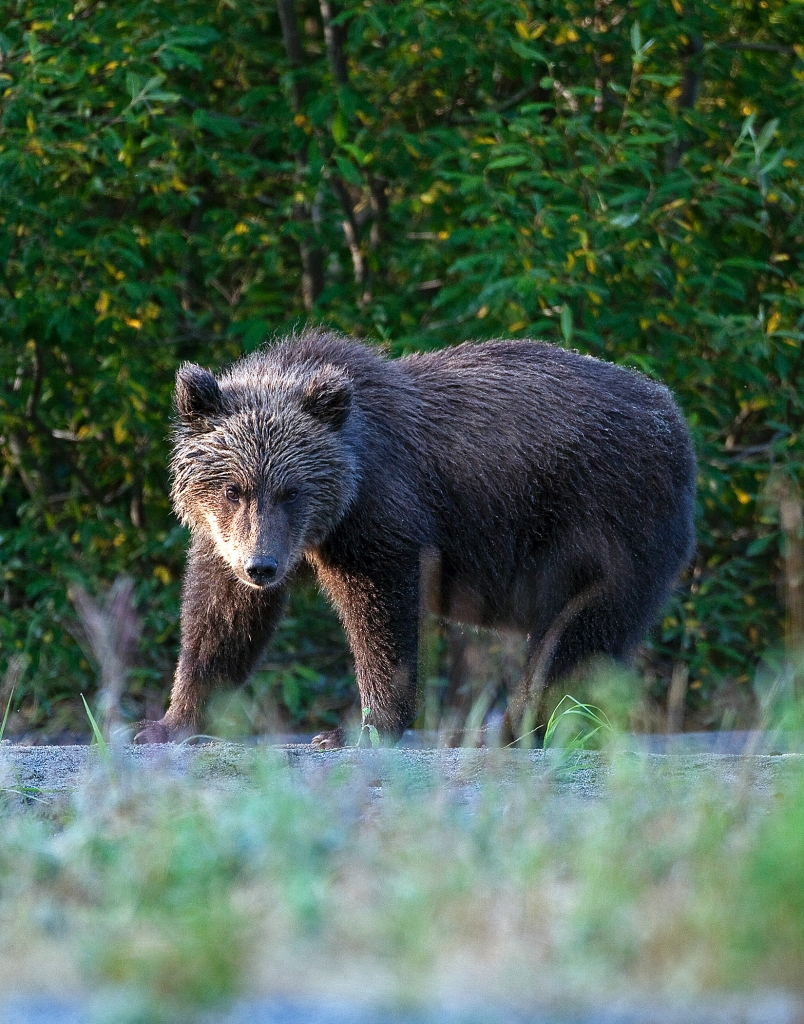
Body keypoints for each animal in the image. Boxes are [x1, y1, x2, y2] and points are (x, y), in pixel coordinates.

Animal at [134, 329, 696, 748]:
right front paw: (167, 722)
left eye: (292, 490)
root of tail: (673, 415)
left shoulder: (380, 513)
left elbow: (381, 616)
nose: (262, 567)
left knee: (575, 631)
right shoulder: (227, 540)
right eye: (233, 488)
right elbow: (219, 619)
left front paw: (359, 729)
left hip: (602, 517)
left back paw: (510, 730)